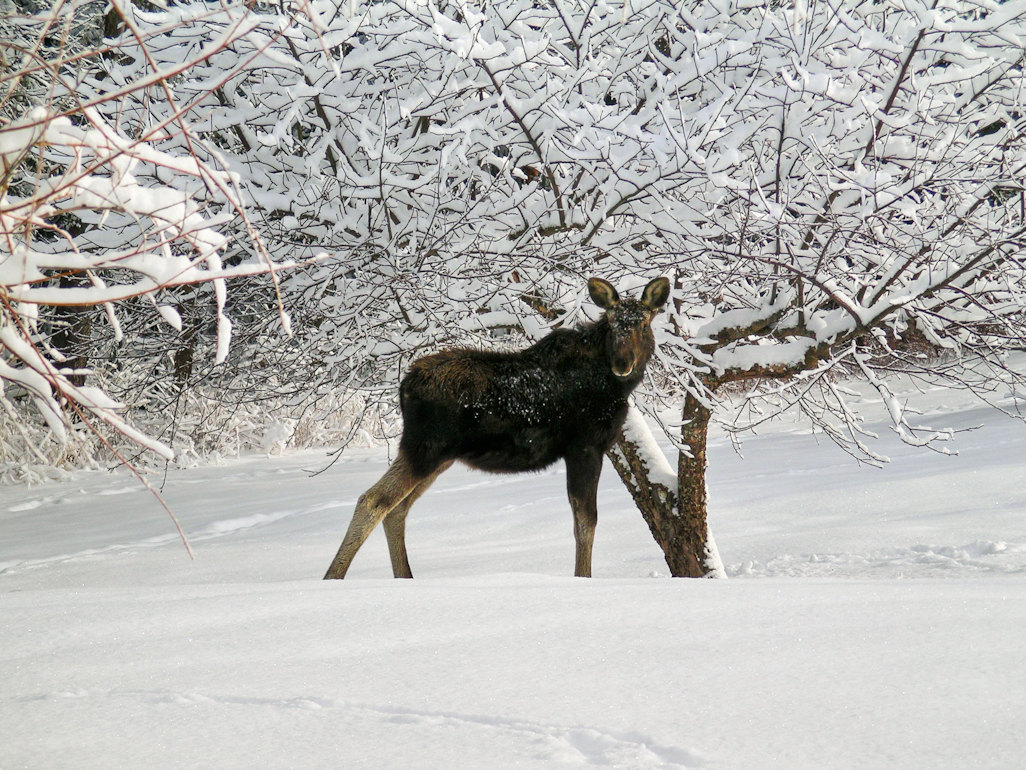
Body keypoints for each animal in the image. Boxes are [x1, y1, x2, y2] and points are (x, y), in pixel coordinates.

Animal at [323, 276, 671, 579]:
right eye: (612, 324)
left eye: (643, 324)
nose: (623, 364)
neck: (615, 385)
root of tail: (404, 386)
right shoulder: (585, 446)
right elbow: (586, 521)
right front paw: (583, 578)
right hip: (424, 448)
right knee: (374, 500)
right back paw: (332, 578)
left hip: (437, 456)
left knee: (397, 509)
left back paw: (404, 577)